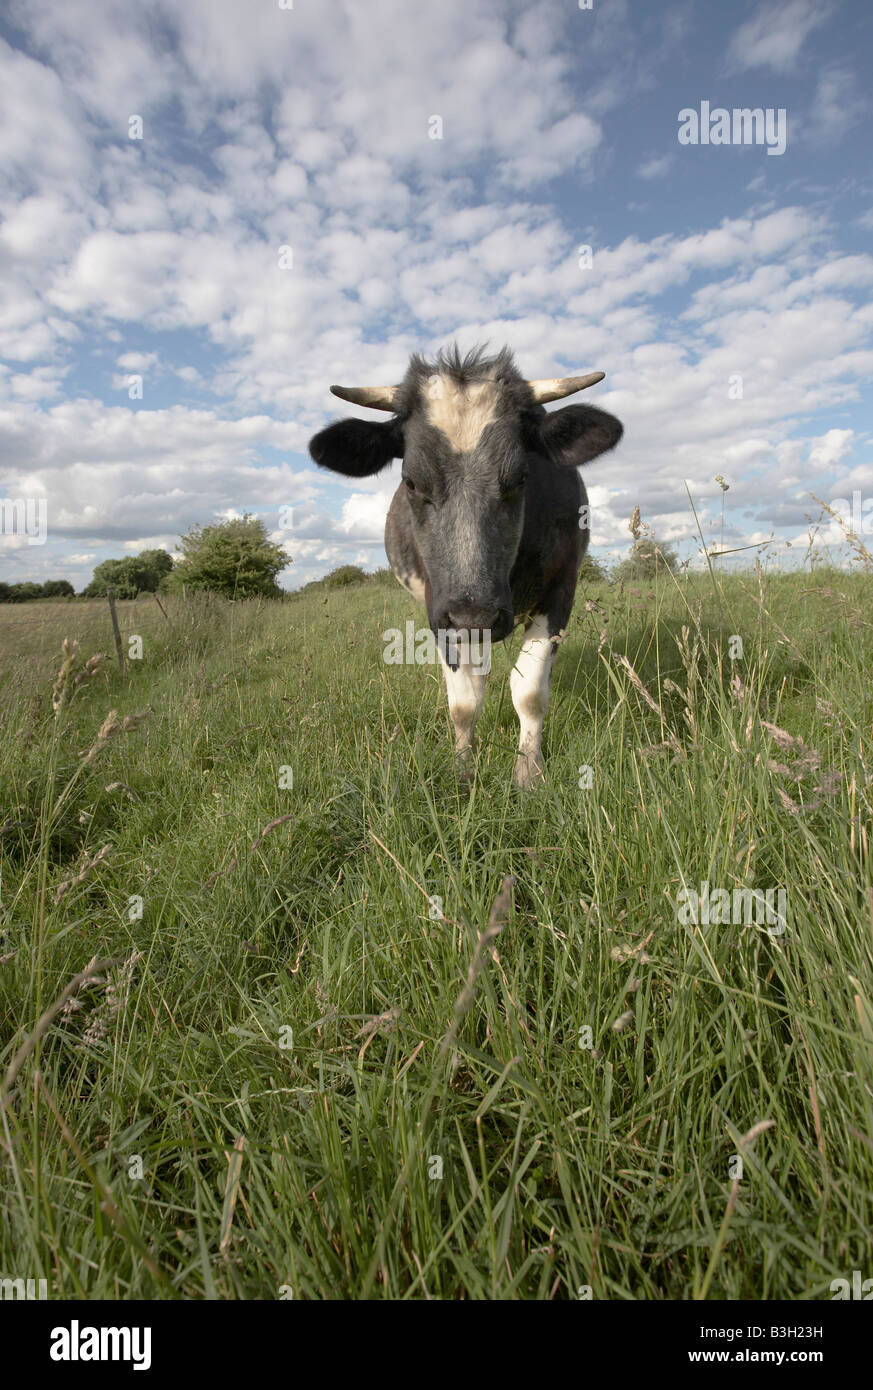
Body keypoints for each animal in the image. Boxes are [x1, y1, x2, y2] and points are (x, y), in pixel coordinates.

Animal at [308, 345, 623, 787]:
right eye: (411, 482)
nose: (475, 616)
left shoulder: (561, 587)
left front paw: (528, 772)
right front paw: (463, 769)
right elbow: (464, 701)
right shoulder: (440, 610)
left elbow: (529, 693)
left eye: (521, 477)